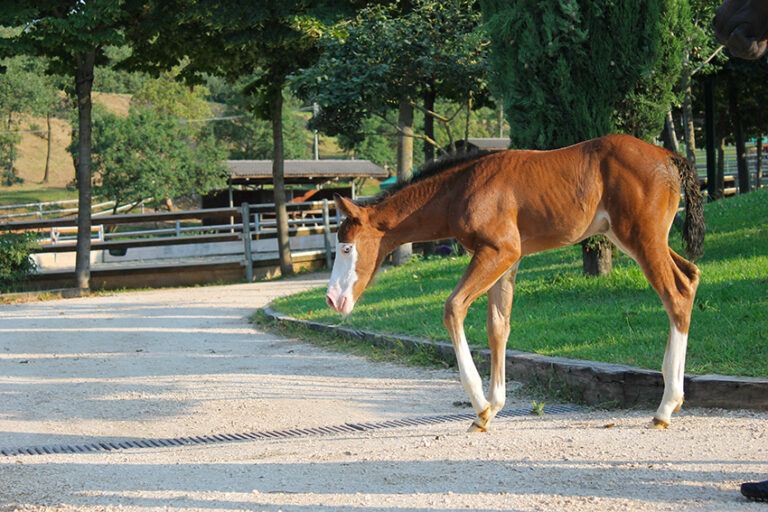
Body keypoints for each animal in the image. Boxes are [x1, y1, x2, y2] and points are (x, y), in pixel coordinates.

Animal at [325, 134, 705, 431]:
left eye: (346, 247)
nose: (332, 299)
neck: (461, 188)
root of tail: (669, 157)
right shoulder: (506, 260)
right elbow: (498, 325)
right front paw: (491, 408)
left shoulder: (499, 251)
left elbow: (454, 307)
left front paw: (480, 404)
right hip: (637, 238)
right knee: (689, 279)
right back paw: (674, 399)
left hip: (641, 238)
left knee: (674, 295)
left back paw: (664, 408)